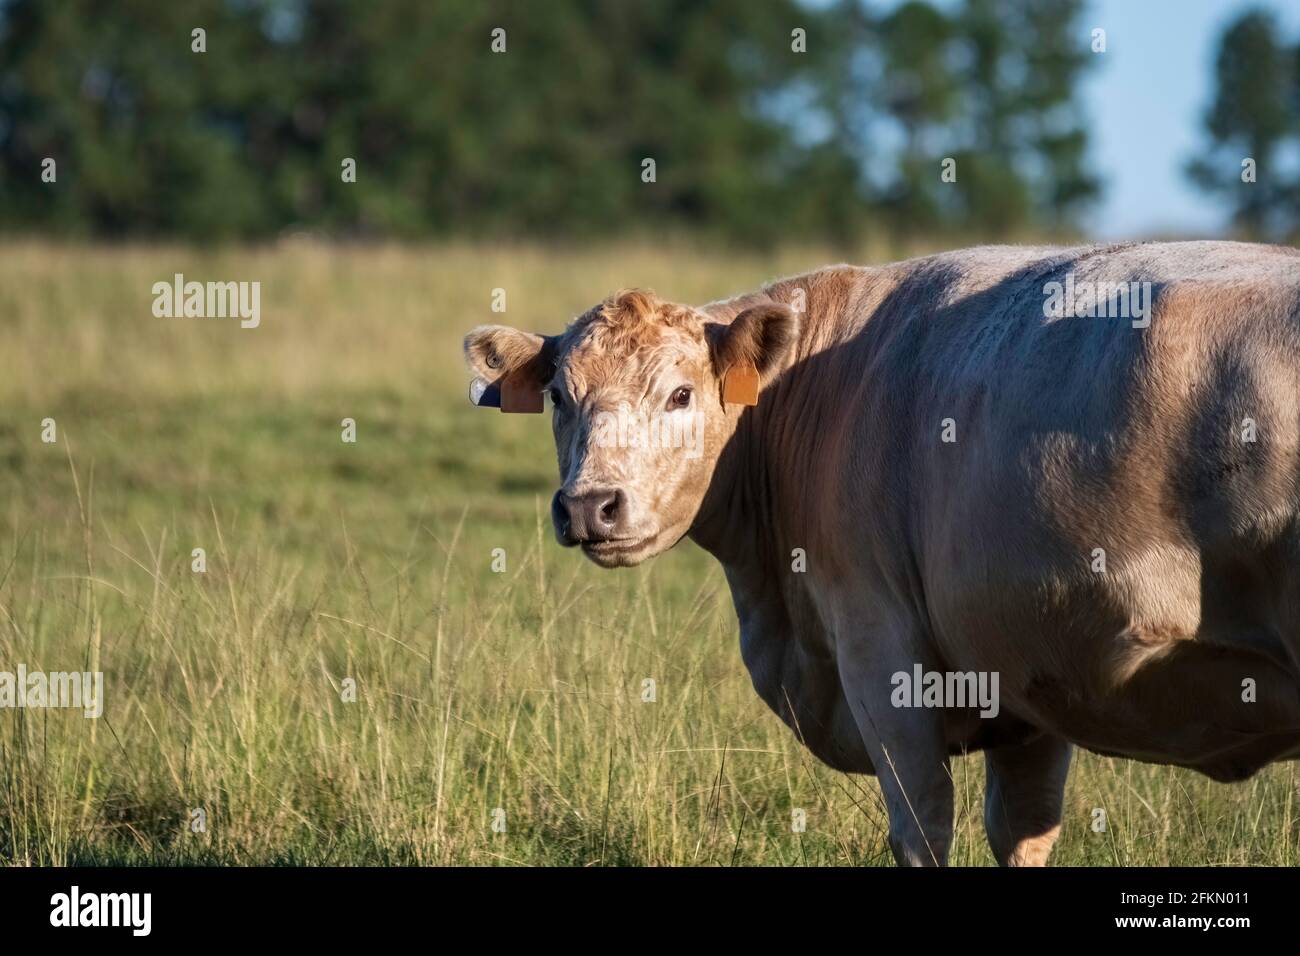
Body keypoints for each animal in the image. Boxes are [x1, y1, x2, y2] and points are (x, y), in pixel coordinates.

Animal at [463, 240, 1300, 866]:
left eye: (680, 395)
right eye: (560, 397)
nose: (588, 505)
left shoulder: (879, 649)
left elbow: (923, 826)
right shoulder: (1027, 671)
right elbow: (1021, 830)